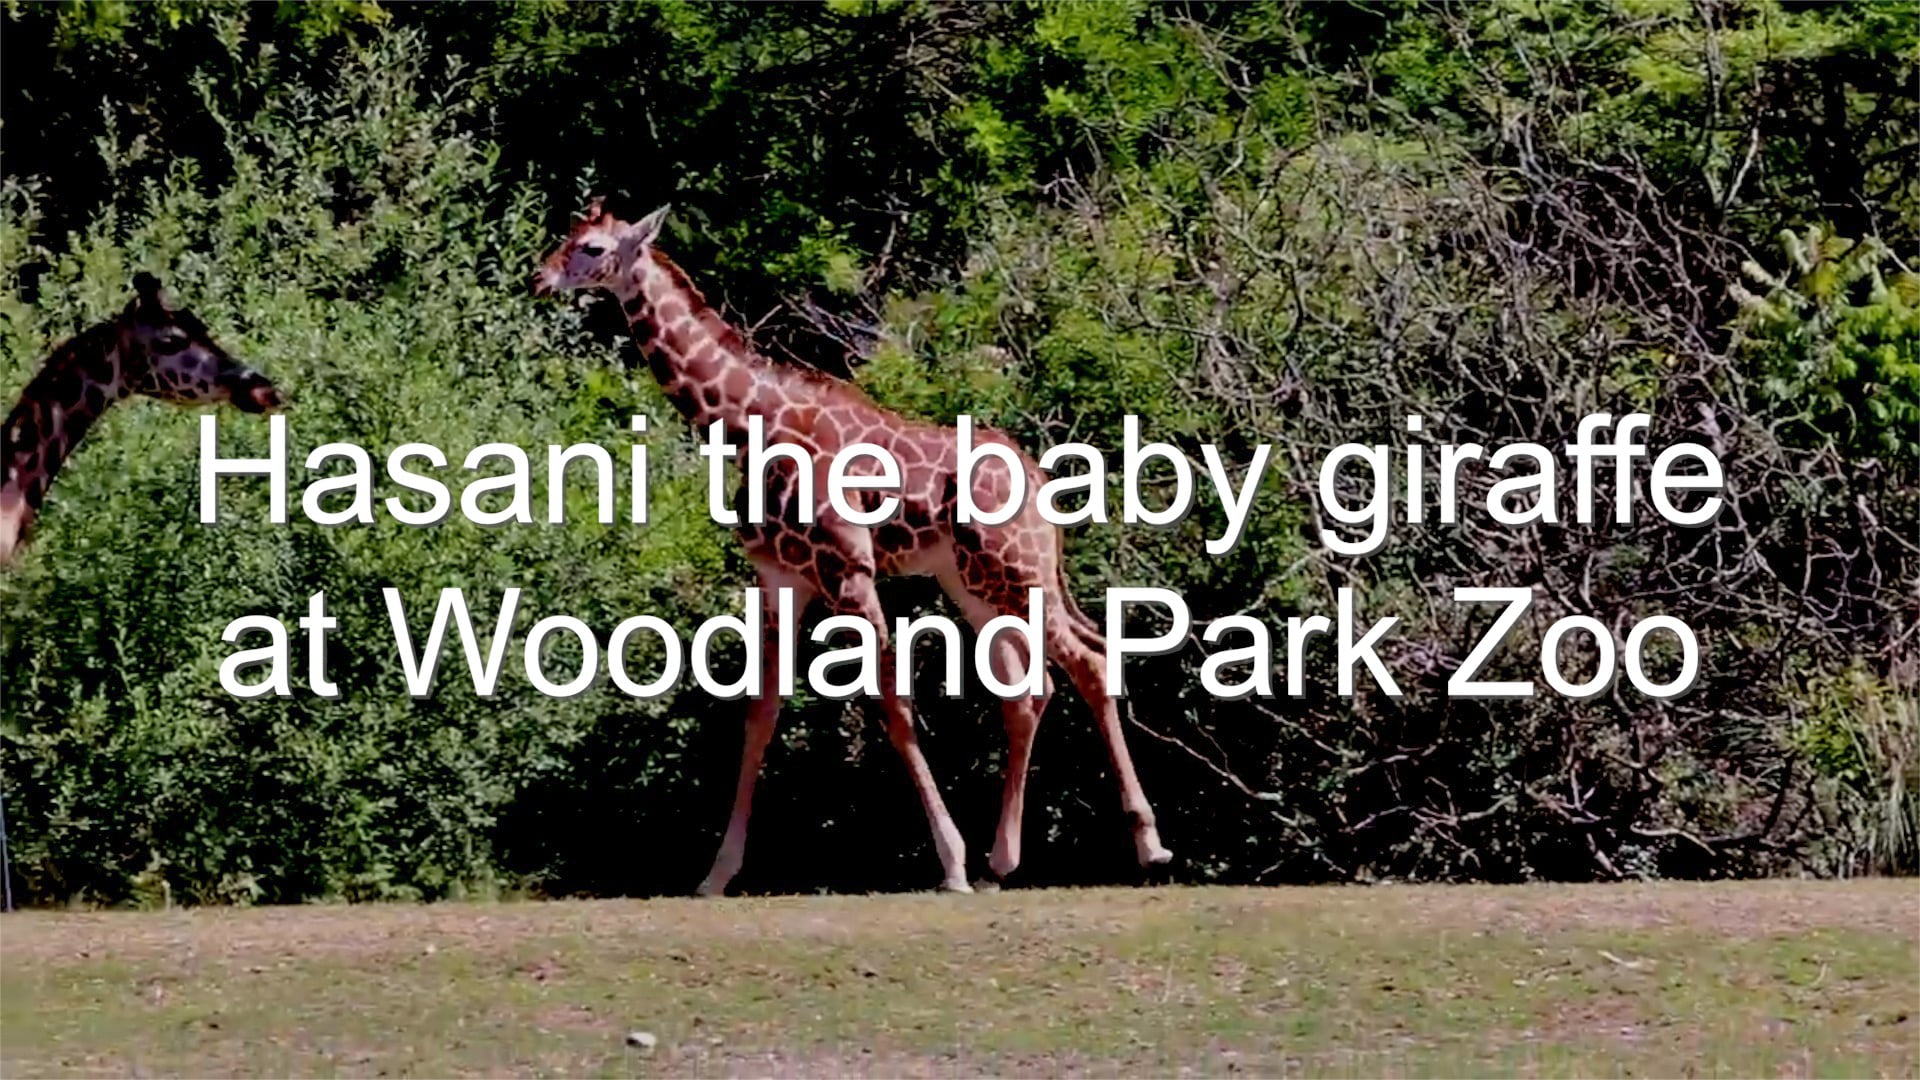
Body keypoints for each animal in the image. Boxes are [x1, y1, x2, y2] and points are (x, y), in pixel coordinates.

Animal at [536, 199, 1172, 895]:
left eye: (592, 248)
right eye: (567, 237)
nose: (541, 278)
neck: (747, 427)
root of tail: (1040, 483)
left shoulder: (851, 571)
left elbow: (894, 707)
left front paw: (950, 863)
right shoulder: (780, 577)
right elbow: (760, 715)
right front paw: (715, 874)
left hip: (1018, 571)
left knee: (1089, 664)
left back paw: (1148, 846)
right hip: (973, 582)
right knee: (1027, 692)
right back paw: (1003, 860)